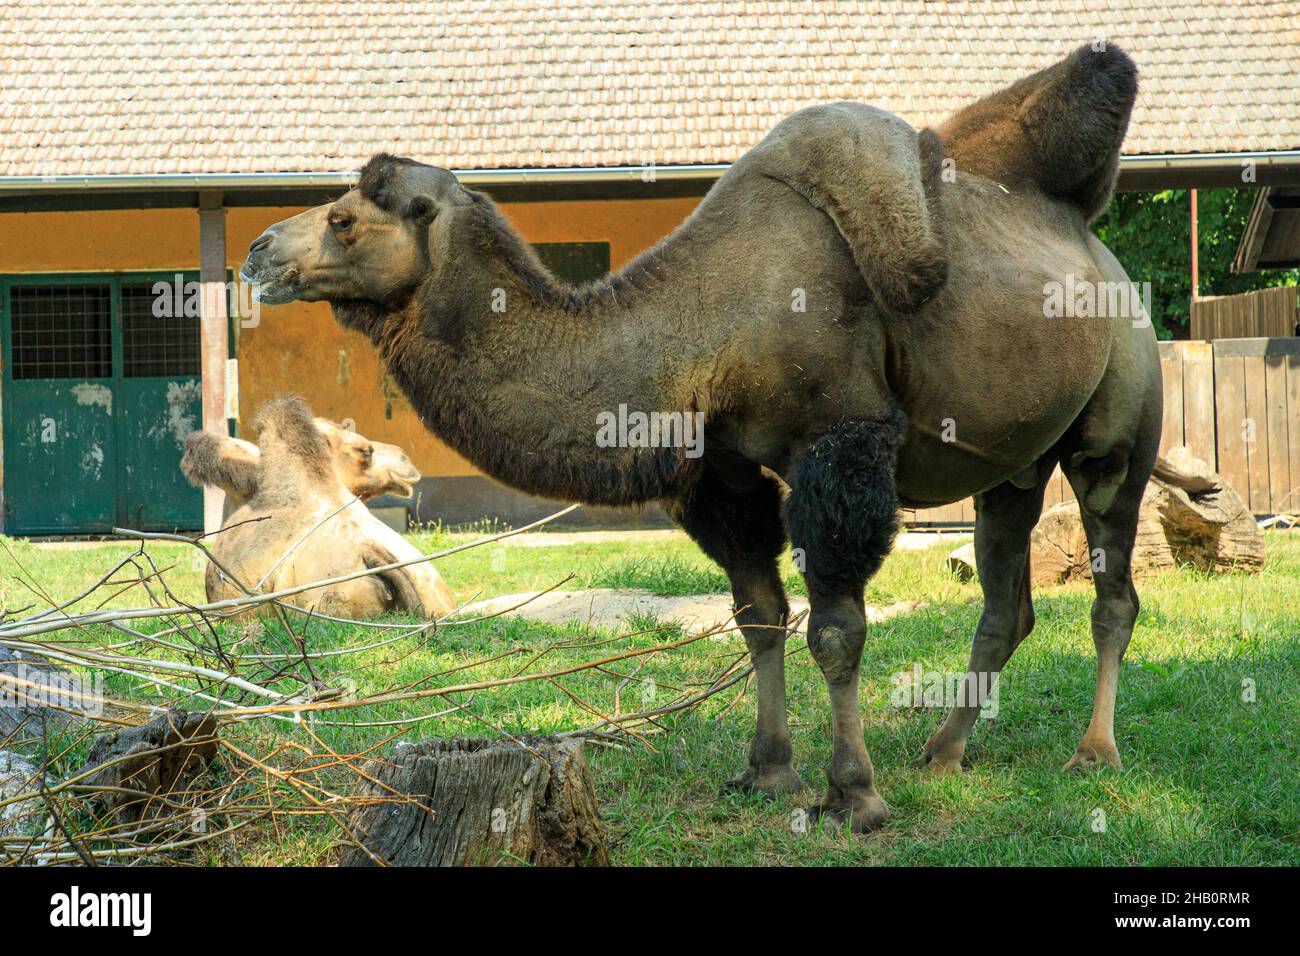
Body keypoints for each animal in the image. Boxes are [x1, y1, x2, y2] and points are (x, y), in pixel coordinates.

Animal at [242, 45, 1161, 832]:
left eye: (346, 218)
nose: (256, 251)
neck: (701, 324)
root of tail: (1100, 250)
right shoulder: (720, 472)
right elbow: (758, 616)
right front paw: (767, 771)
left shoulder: (839, 442)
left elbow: (836, 629)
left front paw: (853, 796)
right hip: (1014, 466)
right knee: (1007, 602)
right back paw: (941, 754)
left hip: (1120, 416)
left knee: (1113, 584)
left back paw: (1095, 753)